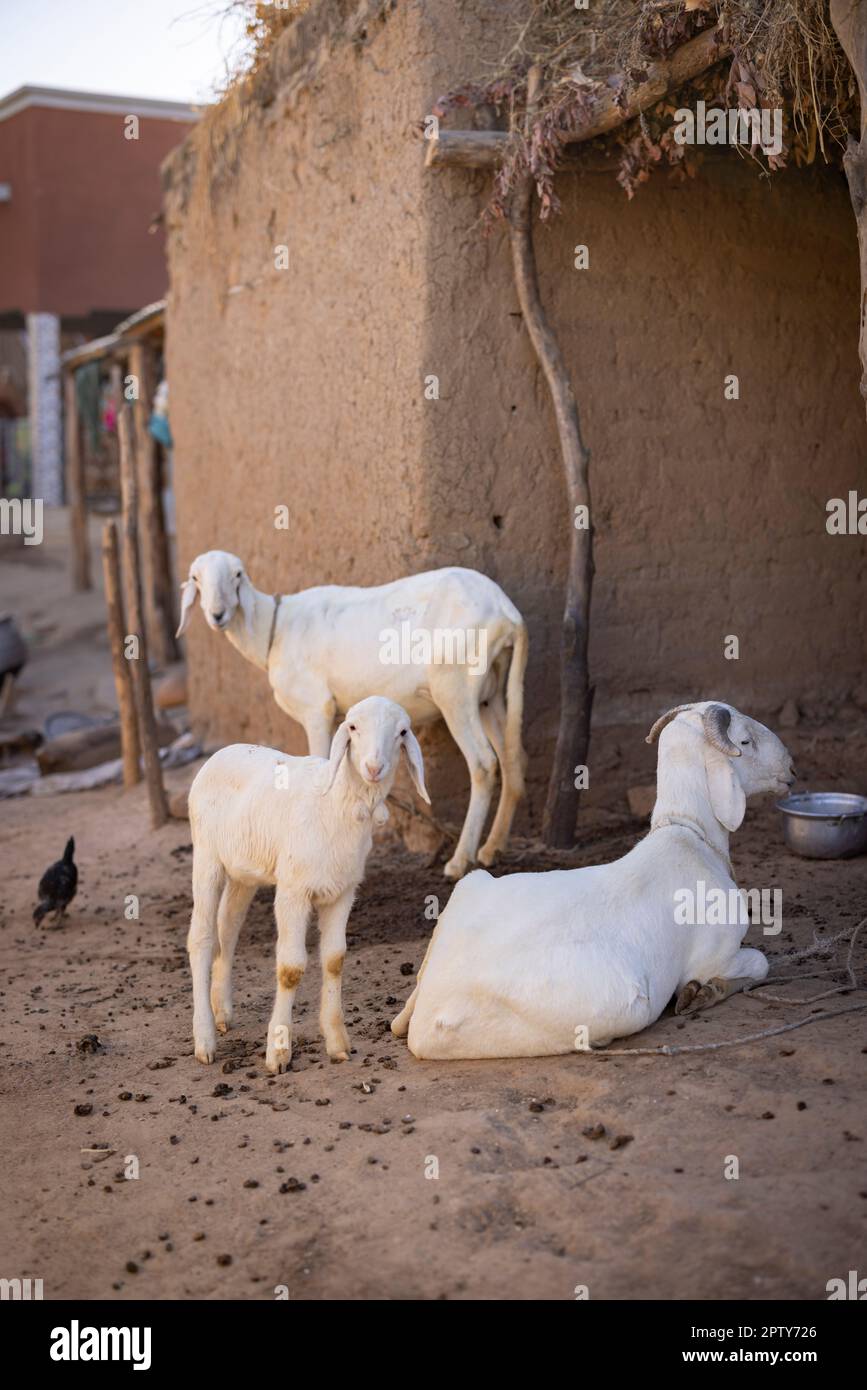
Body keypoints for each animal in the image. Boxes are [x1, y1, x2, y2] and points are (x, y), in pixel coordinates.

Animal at [176, 550, 528, 879]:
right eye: (196, 578)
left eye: (237, 574)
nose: (217, 615)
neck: (275, 629)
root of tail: (507, 613)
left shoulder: (316, 709)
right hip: (490, 694)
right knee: (512, 758)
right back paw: (492, 848)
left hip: (454, 687)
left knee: (483, 763)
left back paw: (459, 860)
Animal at [187, 695, 429, 1073]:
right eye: (353, 727)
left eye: (402, 731)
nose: (374, 767)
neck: (337, 802)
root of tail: (221, 752)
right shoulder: (293, 891)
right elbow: (290, 968)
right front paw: (278, 1053)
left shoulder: (343, 892)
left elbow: (334, 959)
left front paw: (337, 1042)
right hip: (207, 855)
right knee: (201, 938)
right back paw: (205, 1040)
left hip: (244, 869)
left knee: (228, 929)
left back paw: (222, 1011)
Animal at [391, 701, 796, 1060]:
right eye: (744, 741)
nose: (791, 769)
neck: (688, 833)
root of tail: (427, 1019)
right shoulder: (713, 956)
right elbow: (758, 962)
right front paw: (704, 992)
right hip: (623, 1009)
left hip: (469, 888)